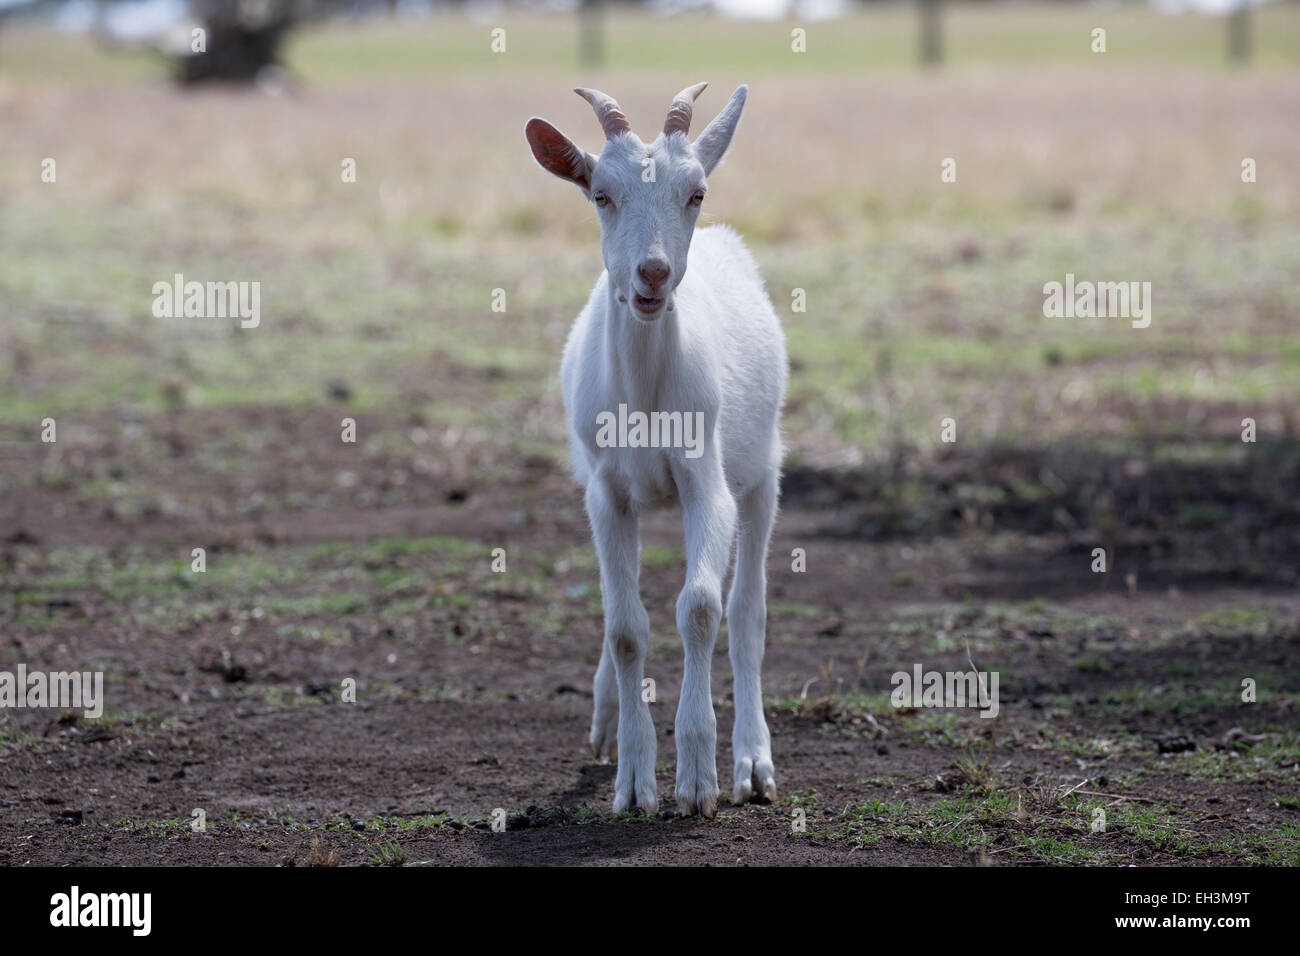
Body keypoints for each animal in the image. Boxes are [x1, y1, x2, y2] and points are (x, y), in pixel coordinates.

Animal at [525, 83, 787, 818]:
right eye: (600, 193)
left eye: (695, 192)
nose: (652, 274)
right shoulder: (607, 495)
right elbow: (625, 626)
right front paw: (635, 782)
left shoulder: (707, 481)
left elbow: (699, 607)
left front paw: (697, 779)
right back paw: (606, 717)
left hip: (765, 471)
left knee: (747, 611)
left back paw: (753, 761)